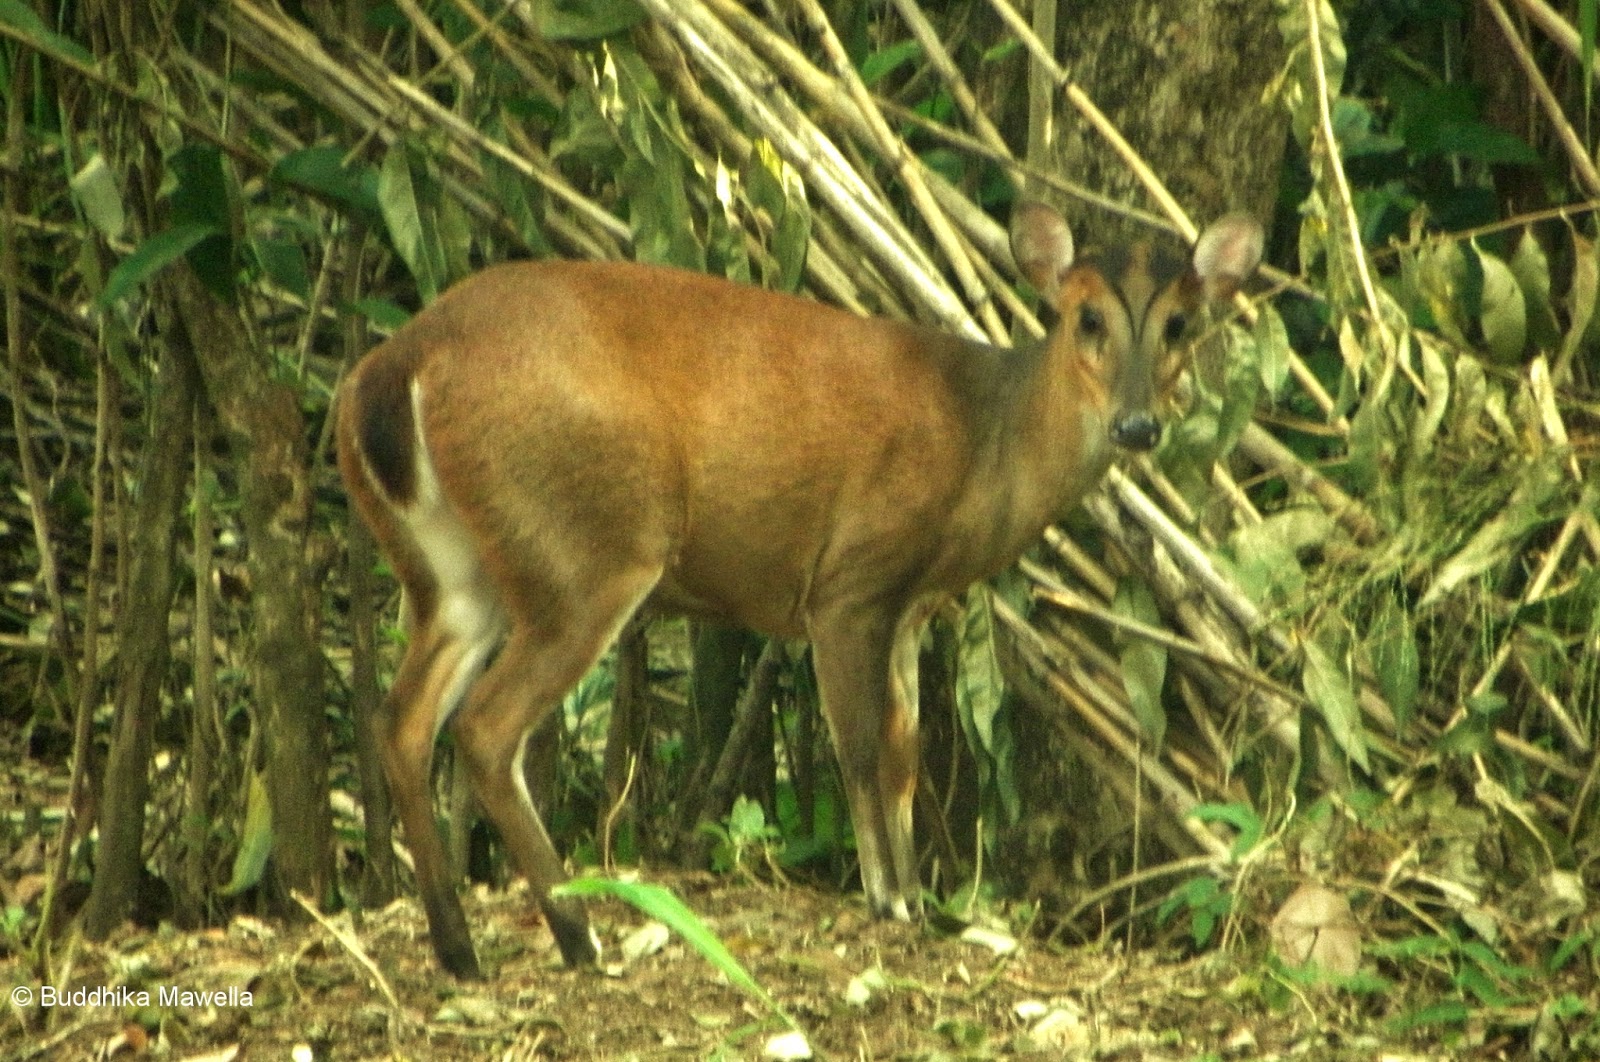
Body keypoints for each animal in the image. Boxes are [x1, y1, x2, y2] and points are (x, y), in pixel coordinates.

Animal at [335, 201, 1263, 979]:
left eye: (1181, 322)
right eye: (1087, 318)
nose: (1137, 426)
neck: (984, 443)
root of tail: (392, 365)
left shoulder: (911, 606)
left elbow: (904, 749)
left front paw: (917, 897)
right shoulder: (850, 579)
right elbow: (860, 745)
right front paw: (888, 900)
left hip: (455, 569)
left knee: (401, 718)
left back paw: (459, 949)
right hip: (590, 547)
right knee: (485, 725)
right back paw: (577, 934)